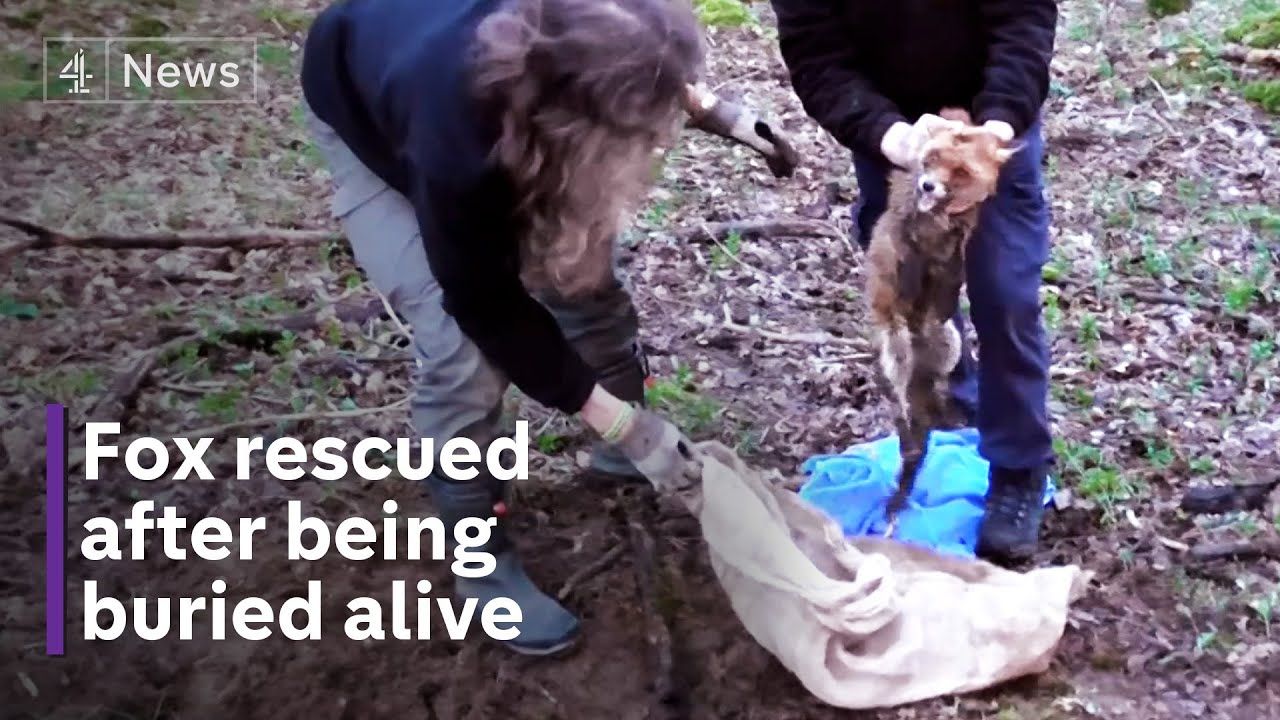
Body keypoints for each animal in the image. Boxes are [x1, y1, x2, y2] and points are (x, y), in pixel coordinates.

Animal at [865, 108, 1019, 531]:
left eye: (961, 172)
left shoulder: (957, 234)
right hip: (896, 347)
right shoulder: (907, 218)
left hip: (946, 339)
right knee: (903, 410)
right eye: (931, 158)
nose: (928, 185)